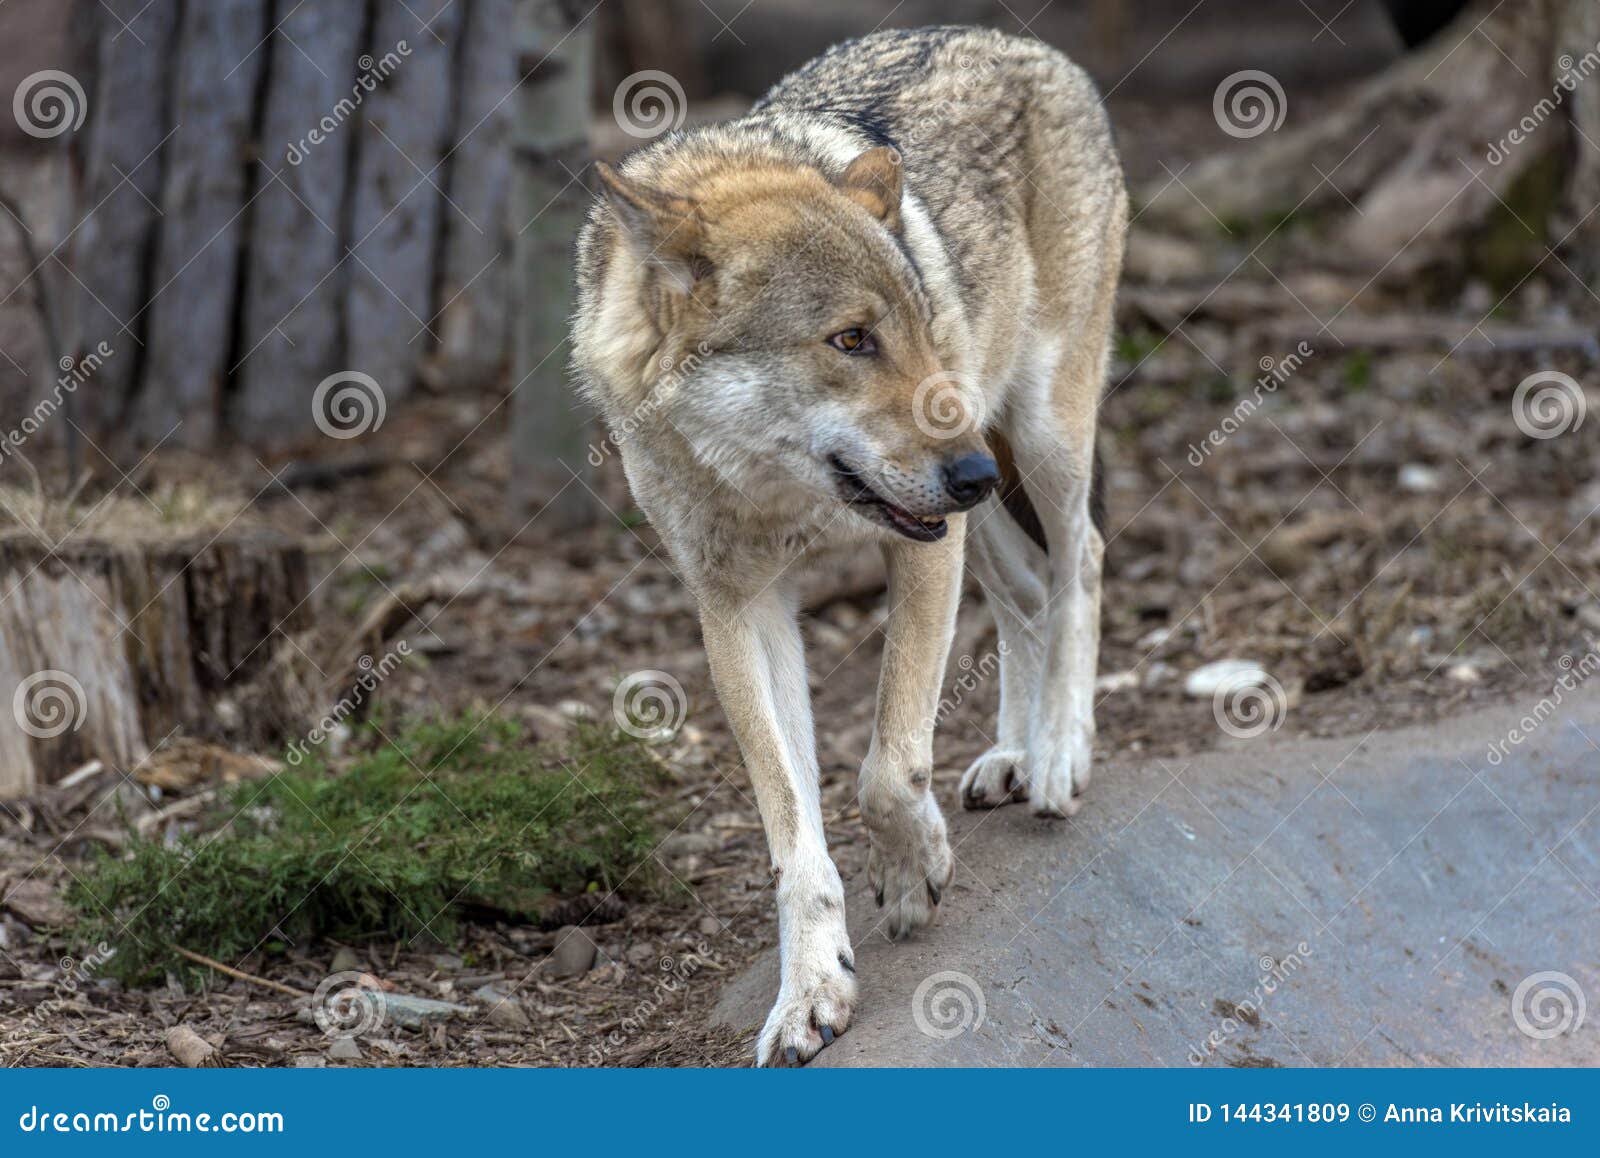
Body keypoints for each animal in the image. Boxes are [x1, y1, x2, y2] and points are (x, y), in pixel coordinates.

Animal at [572, 26, 1126, 1065]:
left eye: (915, 326)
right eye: (852, 340)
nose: (967, 470)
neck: (779, 496)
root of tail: (1024, 43)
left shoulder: (923, 550)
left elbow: (883, 768)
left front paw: (913, 875)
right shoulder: (738, 606)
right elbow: (793, 835)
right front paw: (810, 993)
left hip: (1034, 438)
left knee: (1084, 561)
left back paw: (1060, 757)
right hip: (988, 499)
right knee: (1028, 594)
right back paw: (1014, 754)